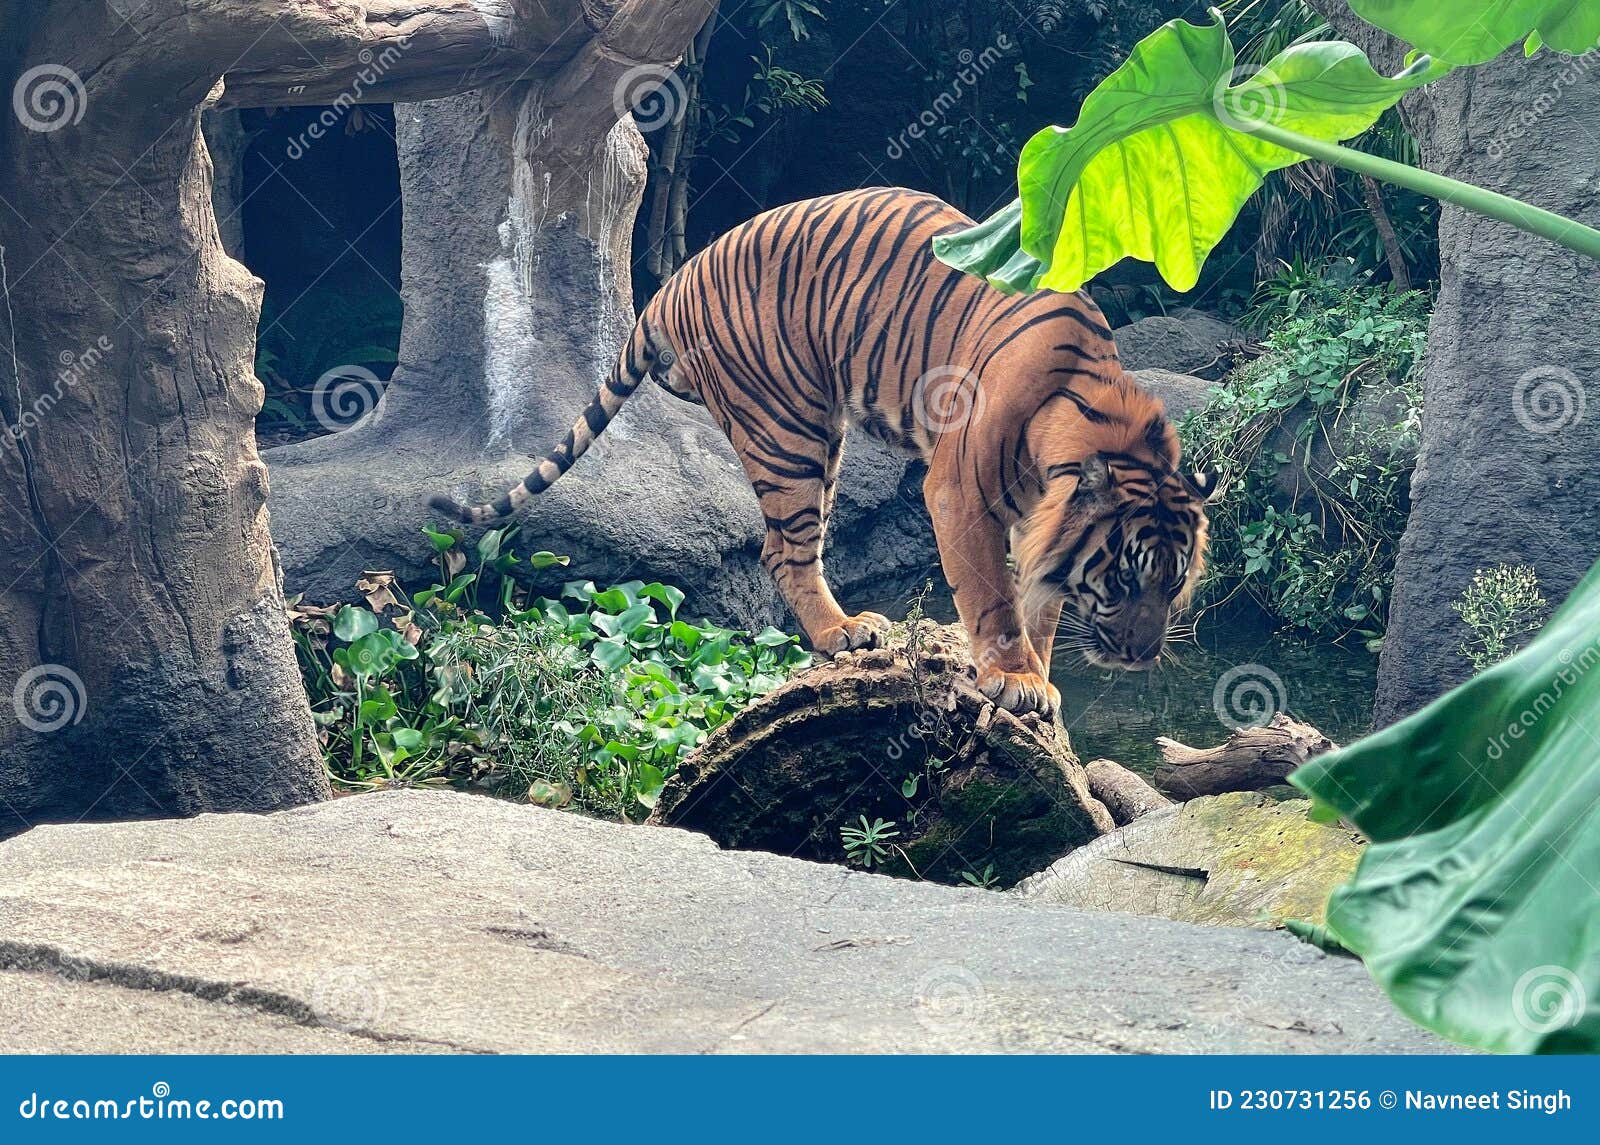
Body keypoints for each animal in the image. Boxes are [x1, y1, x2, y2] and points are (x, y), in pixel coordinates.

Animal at [430, 188, 1215, 716]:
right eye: (1124, 578)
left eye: (1173, 581)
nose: (1141, 655)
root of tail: (668, 286)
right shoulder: (959, 495)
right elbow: (995, 596)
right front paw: (1014, 678)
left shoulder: (1040, 520)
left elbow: (1041, 600)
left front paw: (1042, 679)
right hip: (790, 432)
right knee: (786, 550)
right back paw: (845, 632)